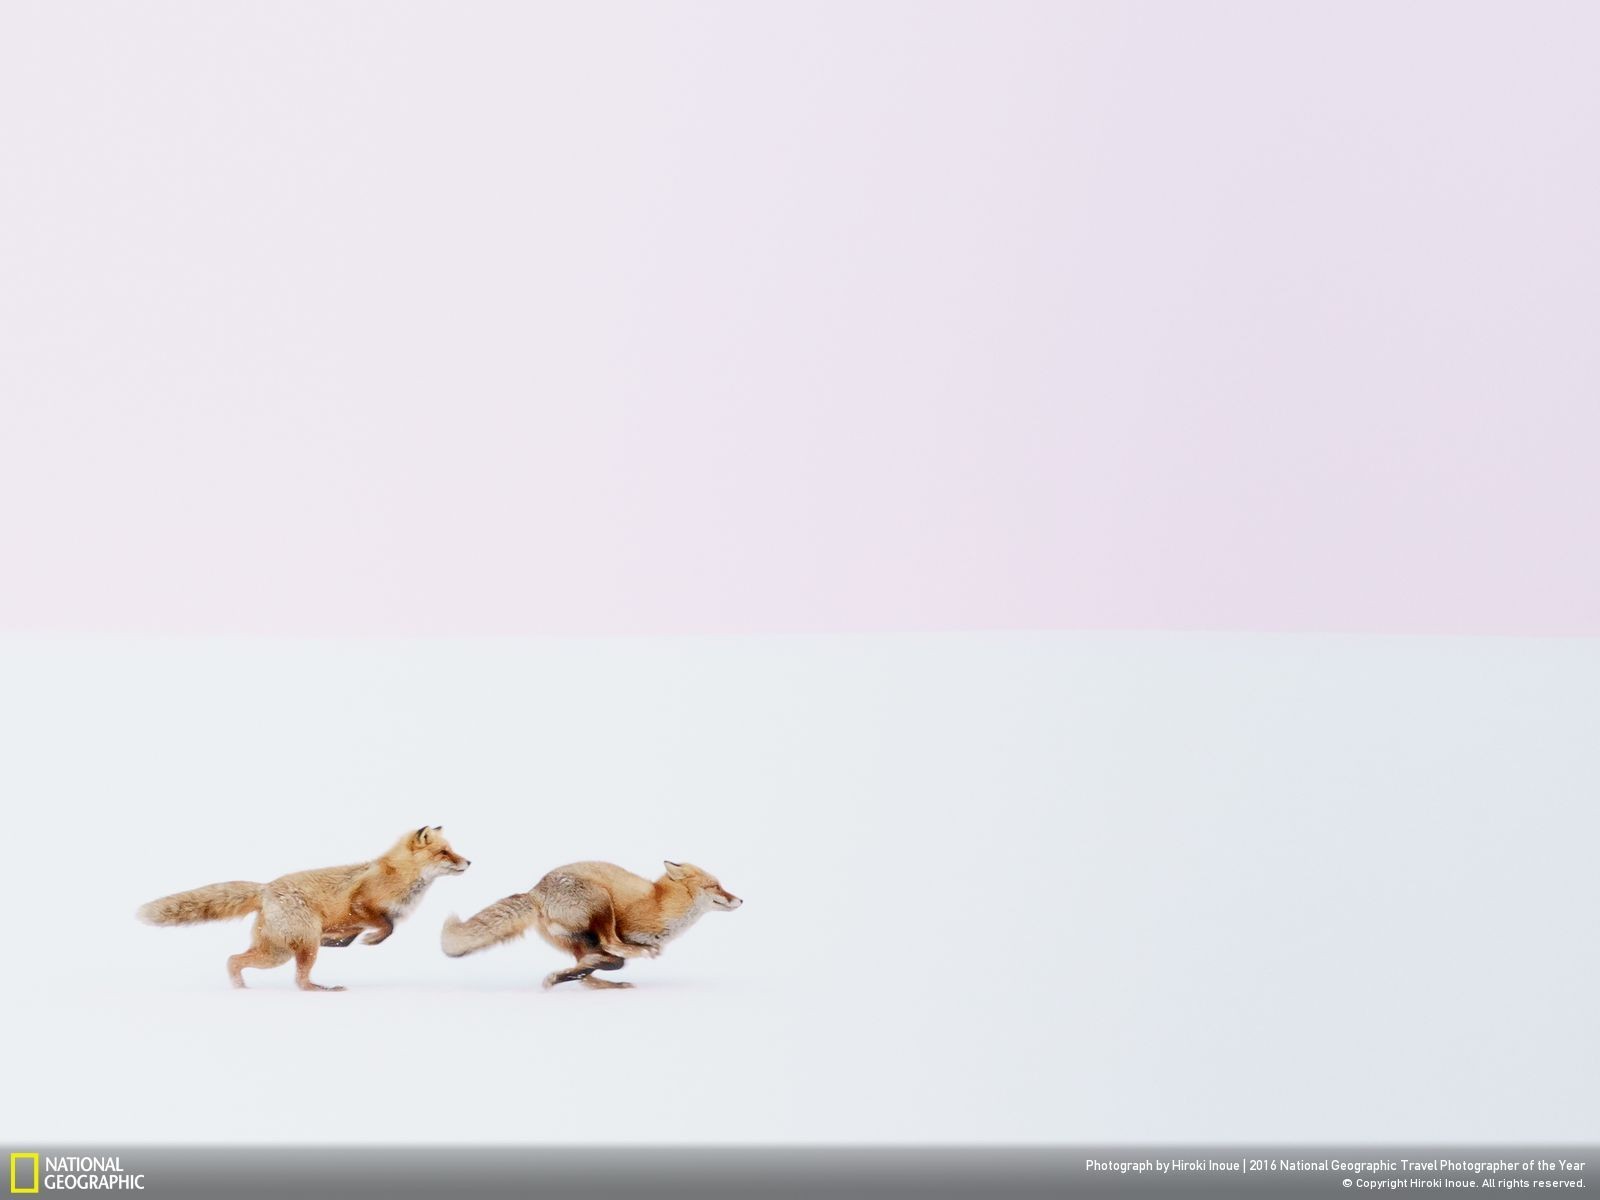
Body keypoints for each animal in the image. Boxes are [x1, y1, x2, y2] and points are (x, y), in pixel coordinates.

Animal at [137, 826, 471, 991]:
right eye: (444, 852)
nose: (469, 861)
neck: (400, 876)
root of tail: (265, 887)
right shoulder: (361, 905)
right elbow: (387, 927)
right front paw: (371, 940)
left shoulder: (348, 921)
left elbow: (356, 934)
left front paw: (344, 942)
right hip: (299, 947)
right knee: (296, 980)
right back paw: (317, 990)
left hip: (279, 950)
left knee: (234, 960)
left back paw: (241, 990)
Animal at [440, 859, 742, 989]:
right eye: (716, 886)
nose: (740, 899)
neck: (661, 902)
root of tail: (536, 891)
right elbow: (618, 951)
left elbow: (607, 962)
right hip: (601, 901)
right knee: (611, 946)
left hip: (578, 939)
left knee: (591, 969)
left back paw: (587, 979)